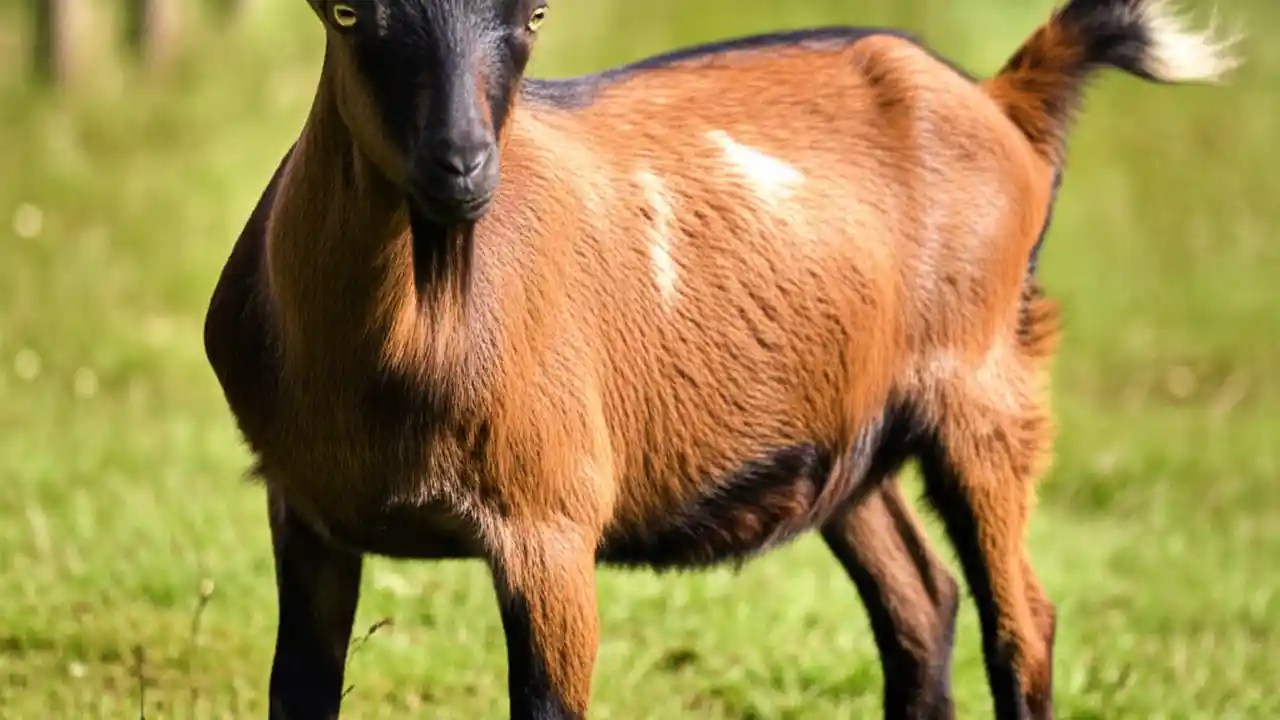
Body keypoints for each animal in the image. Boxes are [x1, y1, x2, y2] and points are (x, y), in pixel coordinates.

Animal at [204, 1, 1237, 718]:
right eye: (348, 13)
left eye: (534, 14)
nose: (461, 167)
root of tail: (1001, 103)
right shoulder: (305, 510)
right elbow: (299, 691)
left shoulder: (551, 521)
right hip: (848, 440)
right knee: (922, 601)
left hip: (985, 383)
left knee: (1021, 621)